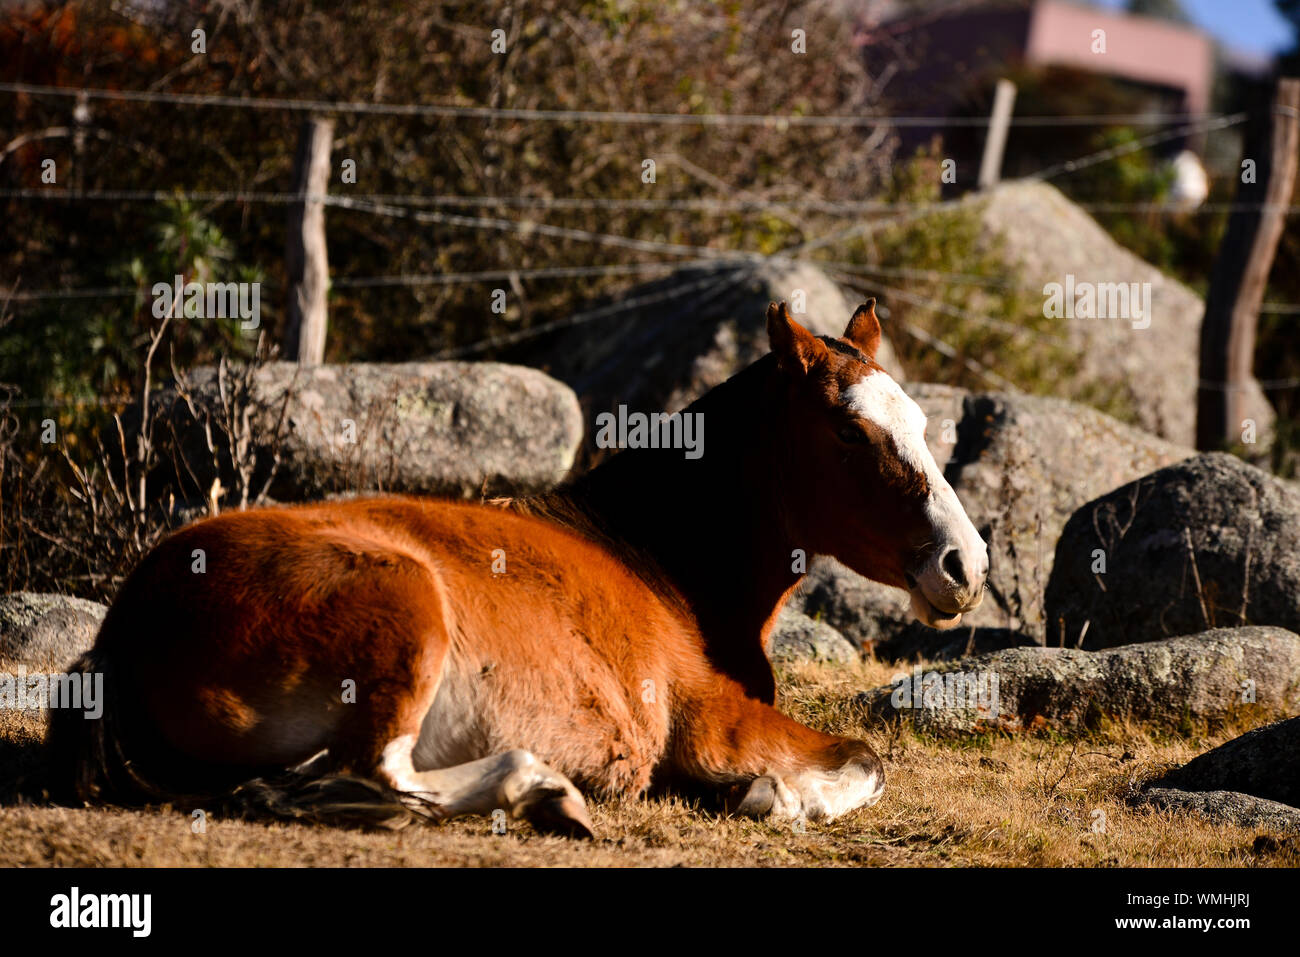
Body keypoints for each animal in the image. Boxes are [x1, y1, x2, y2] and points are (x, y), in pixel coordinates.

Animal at [45, 299, 988, 838]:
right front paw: (776, 798)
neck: (654, 550)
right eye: (849, 432)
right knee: (375, 774)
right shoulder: (712, 719)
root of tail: (127, 624)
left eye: (918, 422)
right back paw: (541, 787)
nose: (965, 561)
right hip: (406, 622)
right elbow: (865, 757)